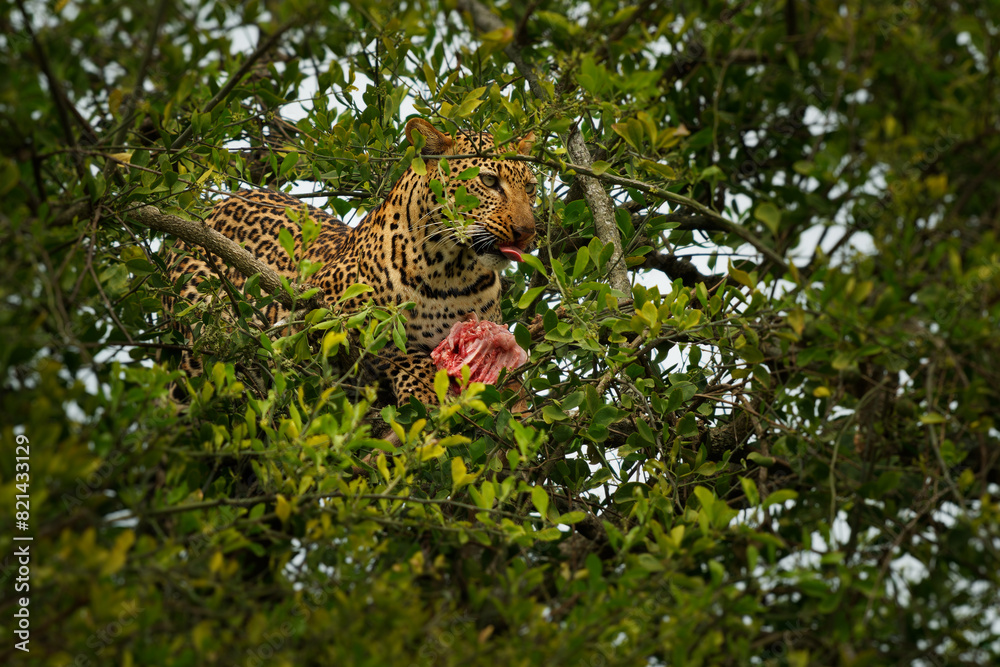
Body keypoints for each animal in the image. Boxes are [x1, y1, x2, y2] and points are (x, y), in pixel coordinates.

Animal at [164, 118, 538, 406]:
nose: (526, 232)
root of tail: (214, 206)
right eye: (488, 181)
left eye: (531, 188)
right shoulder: (312, 312)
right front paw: (425, 387)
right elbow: (391, 345)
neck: (453, 272)